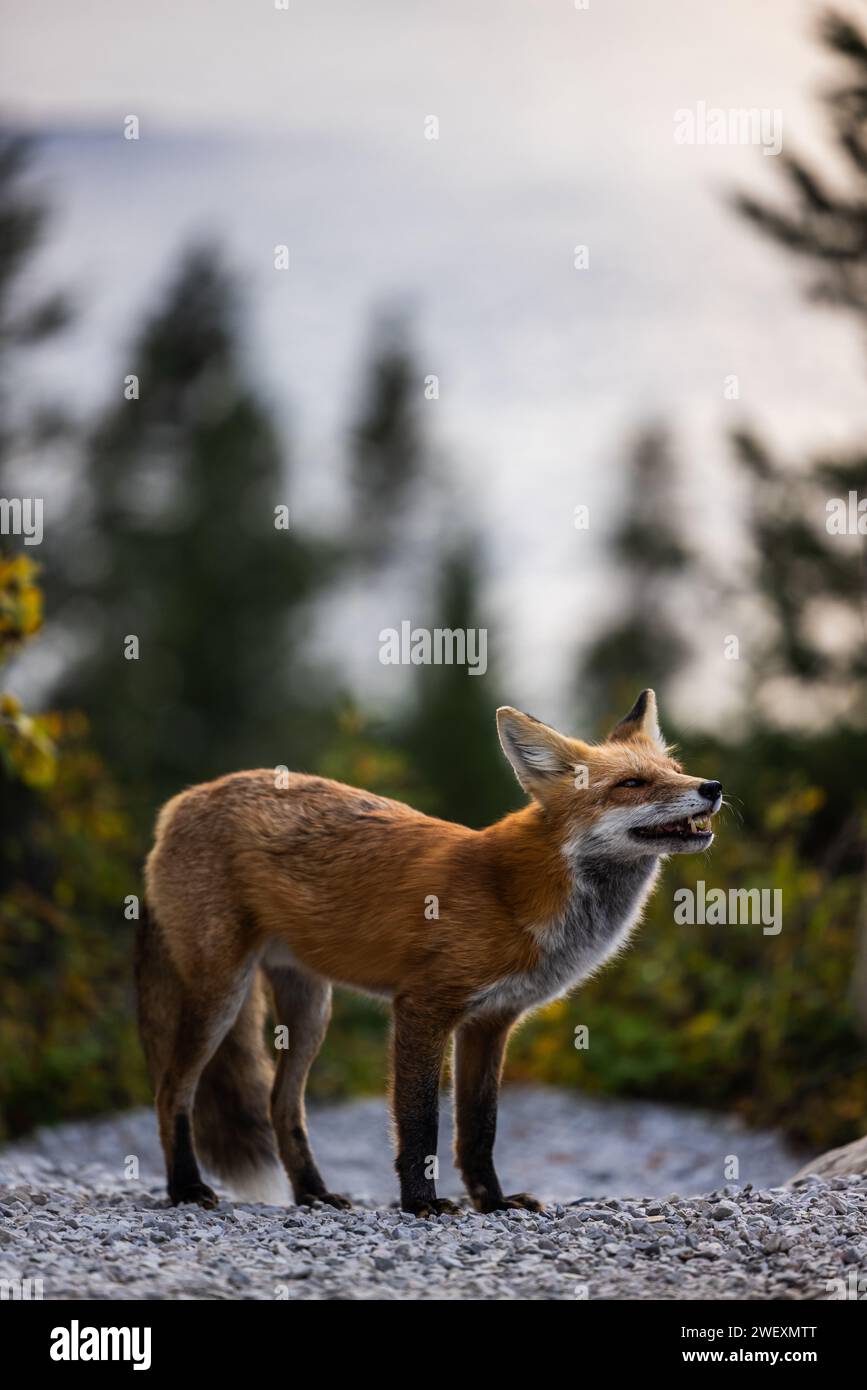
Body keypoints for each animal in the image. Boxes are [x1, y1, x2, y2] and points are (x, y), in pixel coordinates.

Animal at [136, 688, 722, 1217]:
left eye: (675, 769)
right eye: (632, 783)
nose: (712, 787)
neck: (519, 892)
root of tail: (183, 800)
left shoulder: (491, 1022)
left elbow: (480, 1129)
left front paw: (493, 1202)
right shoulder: (423, 1007)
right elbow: (421, 1123)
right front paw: (421, 1203)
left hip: (310, 1011)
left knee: (282, 1106)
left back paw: (314, 1194)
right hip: (223, 994)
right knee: (171, 1091)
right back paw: (187, 1188)